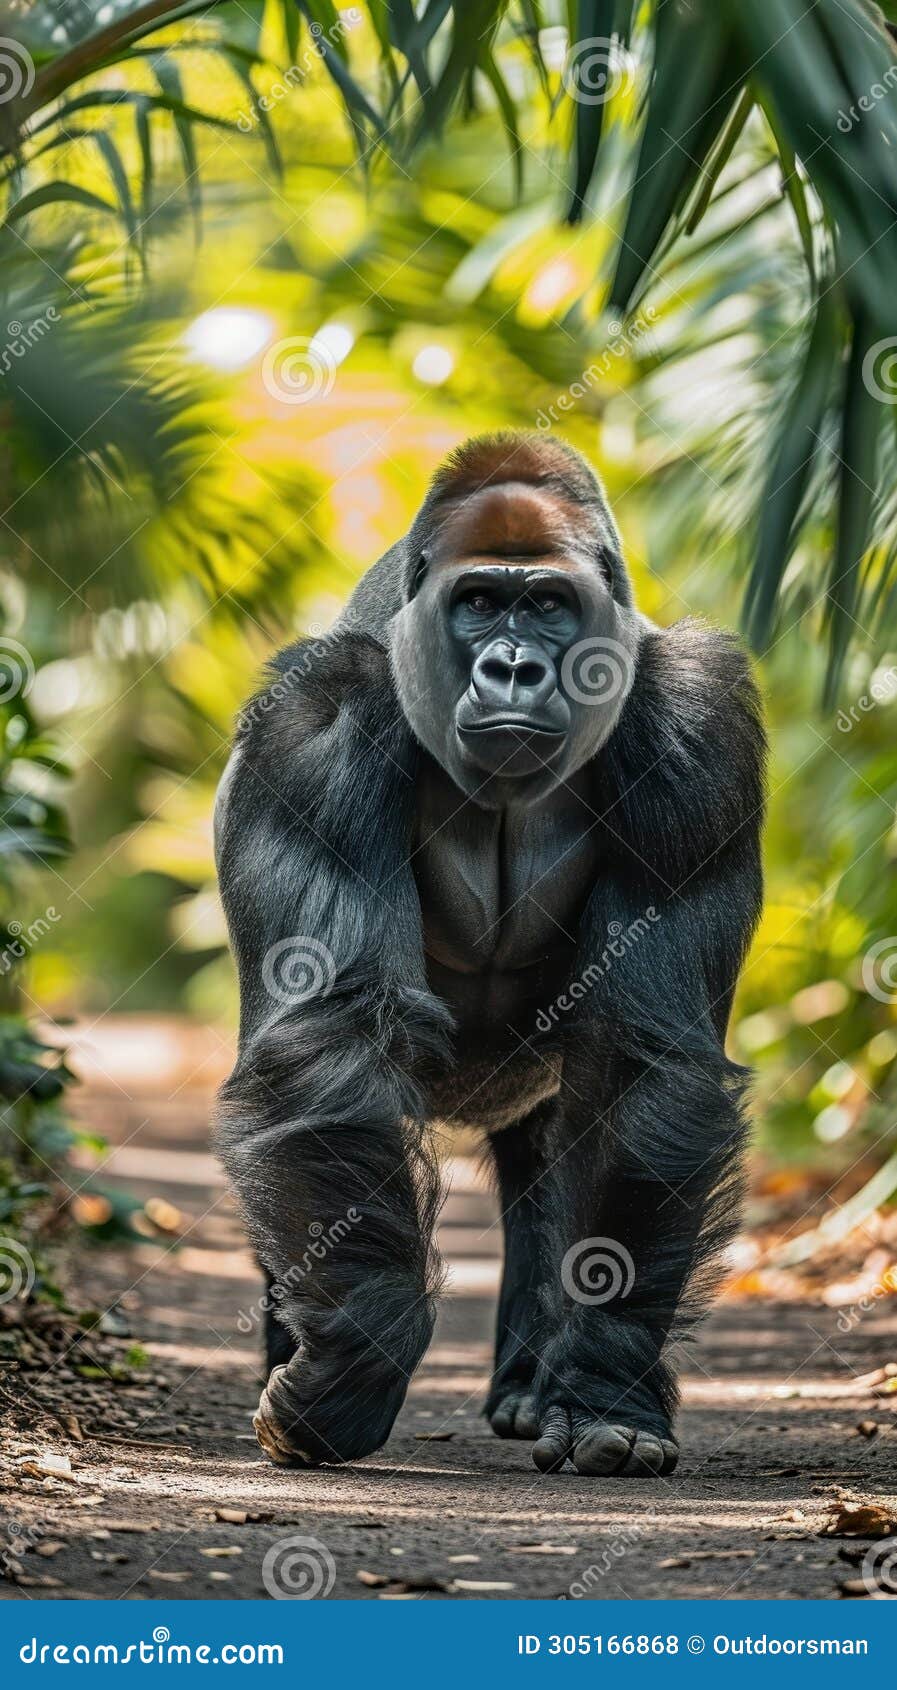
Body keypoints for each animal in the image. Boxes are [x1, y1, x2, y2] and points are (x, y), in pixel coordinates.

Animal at [214, 432, 765, 1478]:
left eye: (546, 605)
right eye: (477, 603)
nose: (513, 668)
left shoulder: (698, 731)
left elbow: (639, 1059)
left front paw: (605, 1388)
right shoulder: (314, 724)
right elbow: (332, 1031)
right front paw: (357, 1352)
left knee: (549, 1157)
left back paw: (528, 1386)